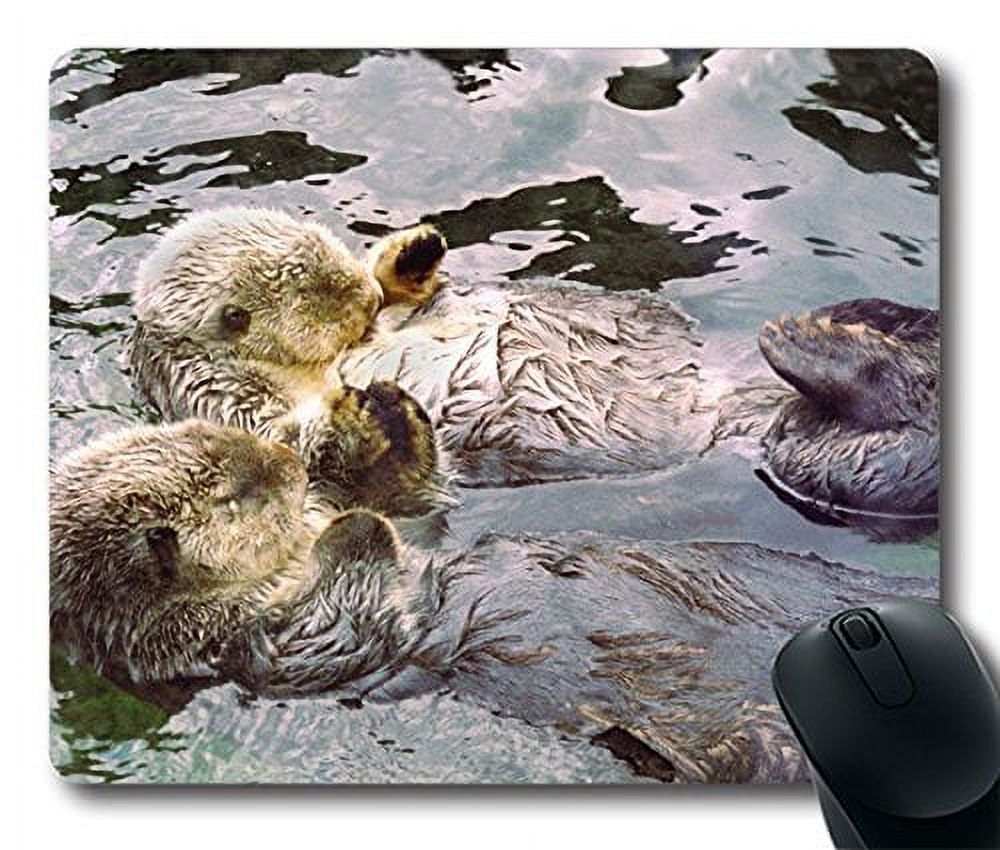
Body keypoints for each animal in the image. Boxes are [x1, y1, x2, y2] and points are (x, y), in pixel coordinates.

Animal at [51, 420, 935, 782]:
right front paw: (350, 522)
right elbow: (334, 624)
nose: (292, 462)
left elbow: (417, 515)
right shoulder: (246, 642)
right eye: (234, 495)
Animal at [128, 208, 938, 521]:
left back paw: (861, 320)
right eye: (314, 291)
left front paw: (410, 254)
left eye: (332, 257)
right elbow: (310, 452)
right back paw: (810, 341)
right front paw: (378, 414)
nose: (357, 294)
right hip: (832, 464)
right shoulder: (221, 400)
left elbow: (412, 304)